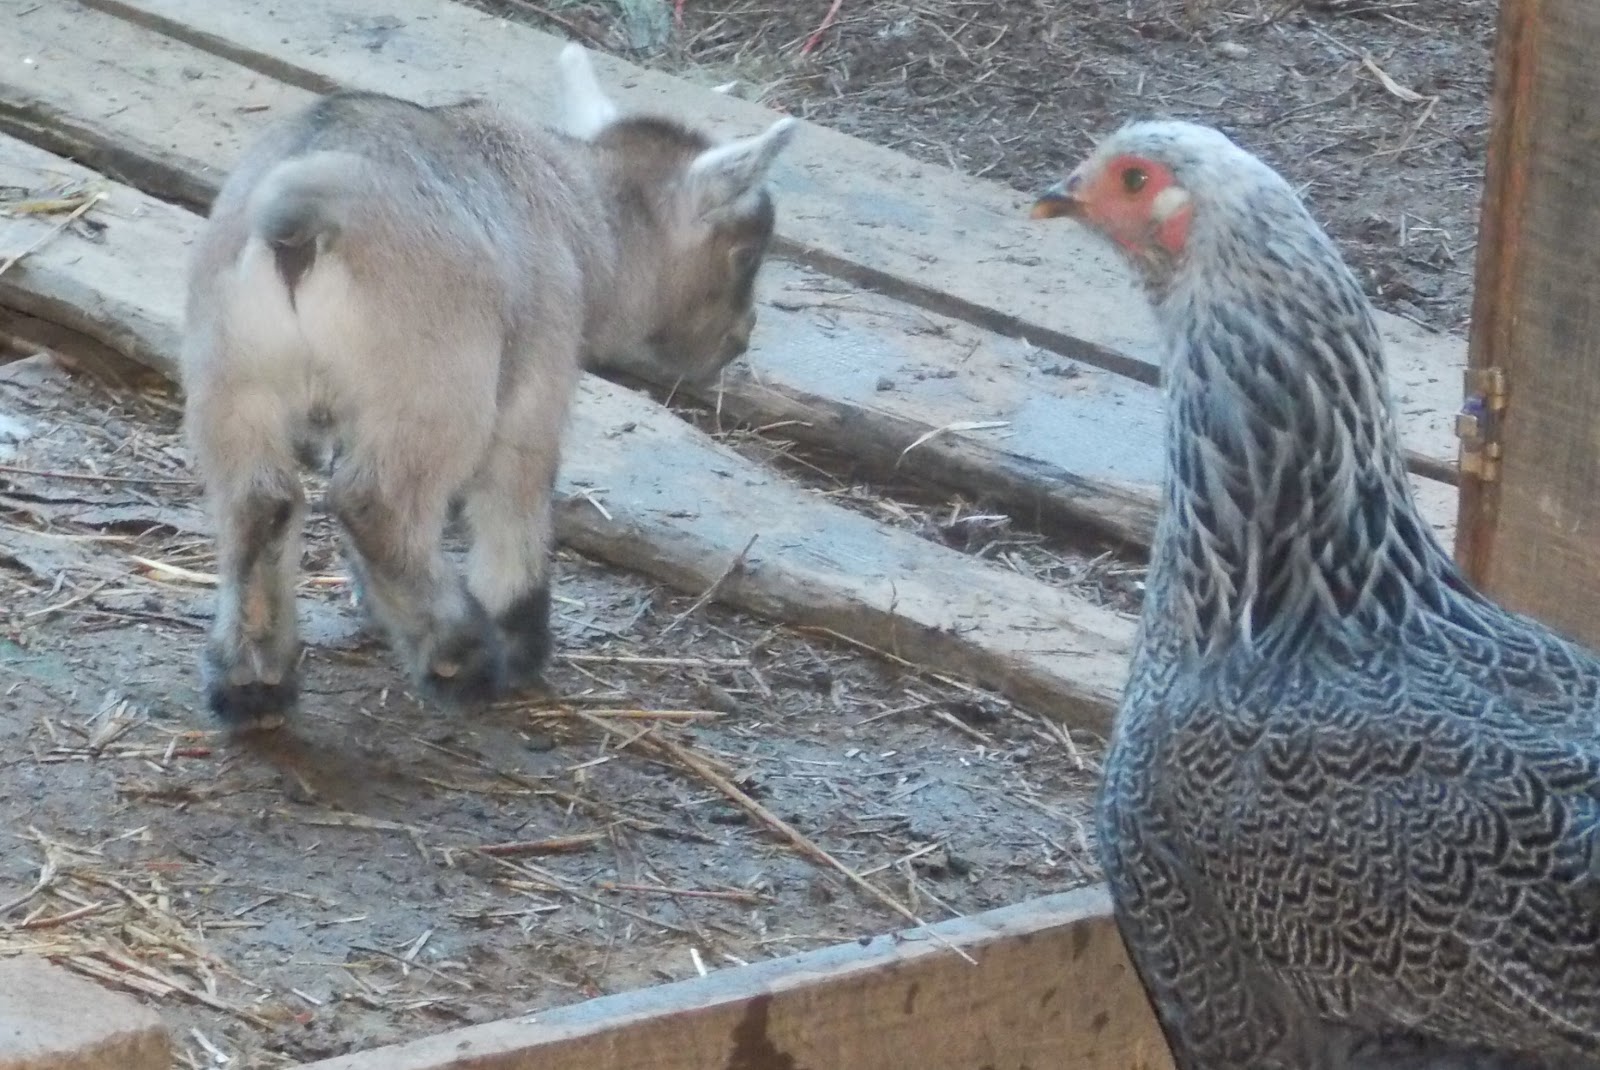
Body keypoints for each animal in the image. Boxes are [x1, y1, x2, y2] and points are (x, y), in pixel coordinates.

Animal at [181, 44, 798, 730]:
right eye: (746, 253)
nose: (741, 337)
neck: (584, 213)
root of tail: (306, 211)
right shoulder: (536, 392)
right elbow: (515, 502)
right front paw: (519, 633)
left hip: (234, 377)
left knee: (260, 503)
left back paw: (251, 680)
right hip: (438, 386)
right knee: (377, 505)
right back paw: (461, 657)